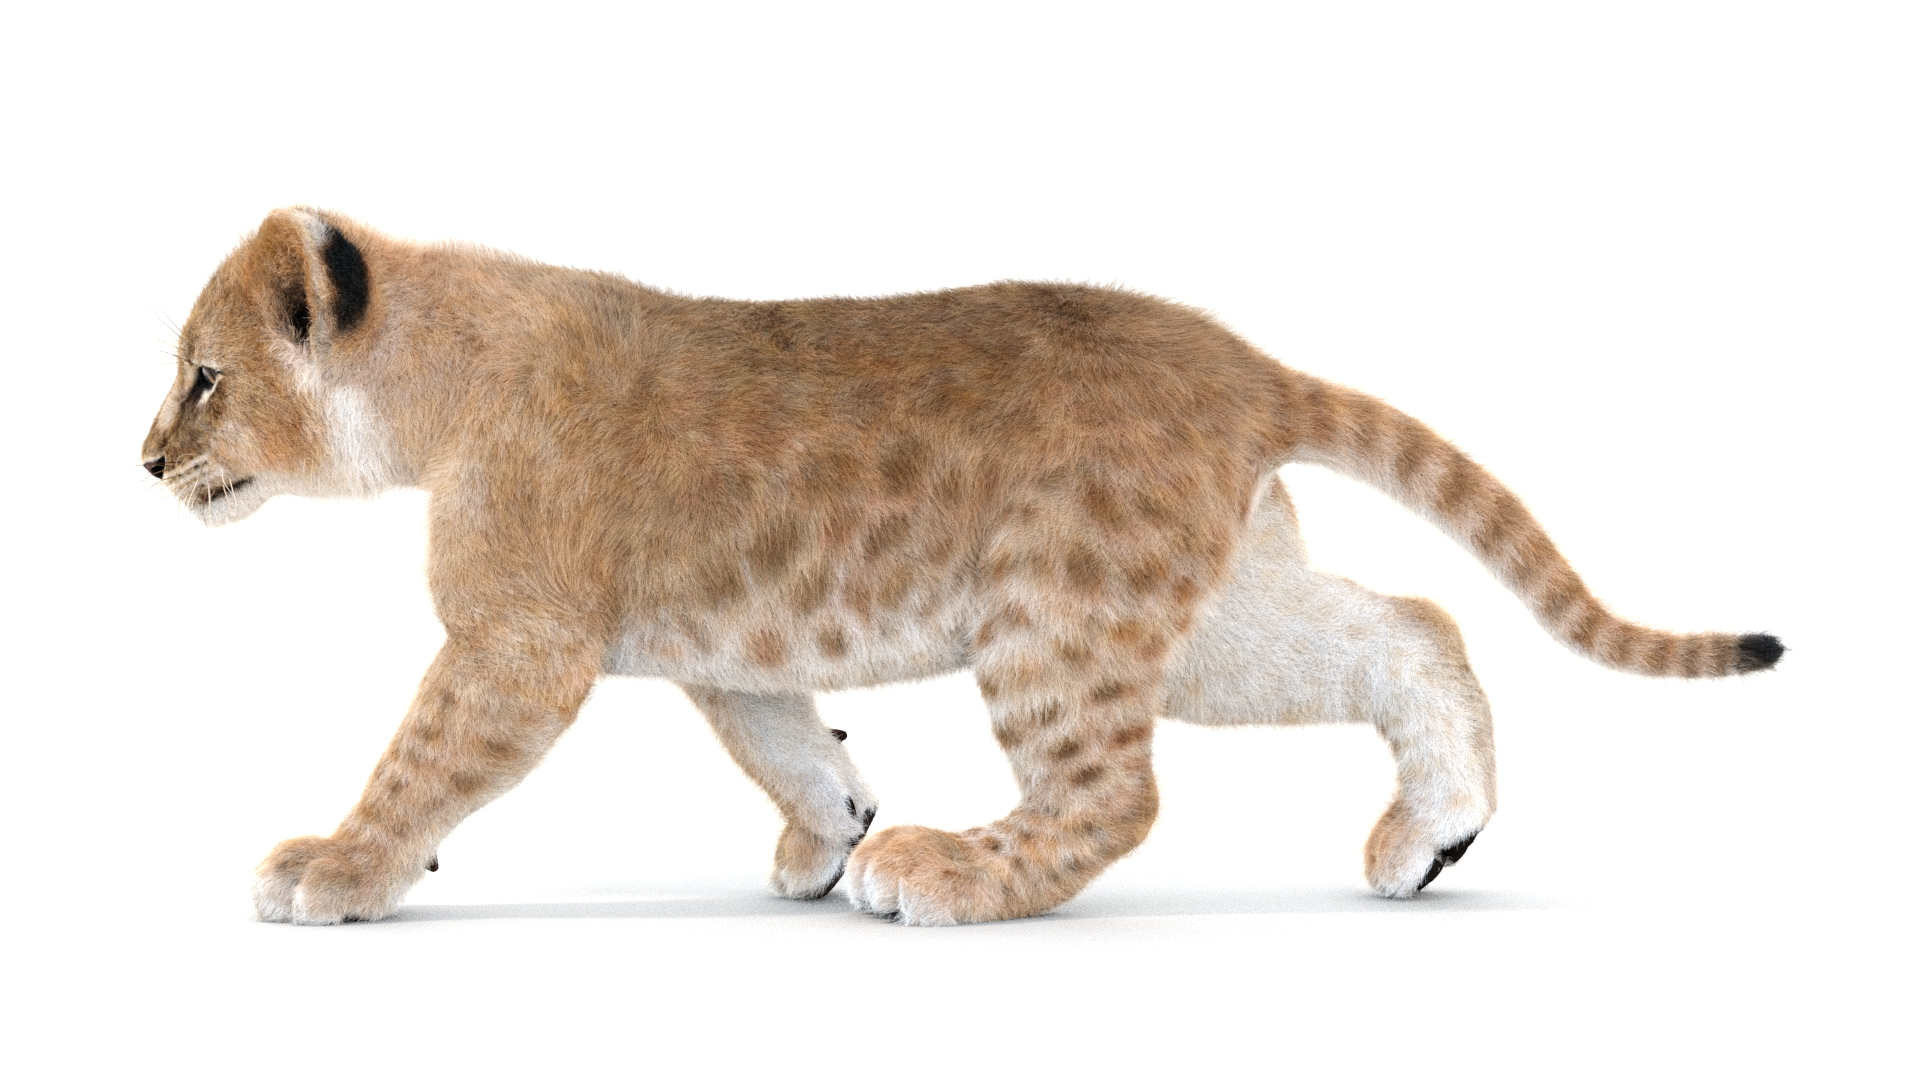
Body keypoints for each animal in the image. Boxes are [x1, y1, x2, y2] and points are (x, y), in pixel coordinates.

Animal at [141, 208, 1781, 925]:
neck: (429, 387)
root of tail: (1243, 361)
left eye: (205, 377)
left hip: (1056, 605)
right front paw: (828, 832)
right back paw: (1431, 837)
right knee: (1412, 624)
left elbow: (420, 759)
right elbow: (788, 743)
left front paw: (338, 867)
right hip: (1209, 618)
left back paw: (942, 871)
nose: (145, 462)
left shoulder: (519, 641)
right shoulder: (722, 647)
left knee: (1114, 796)